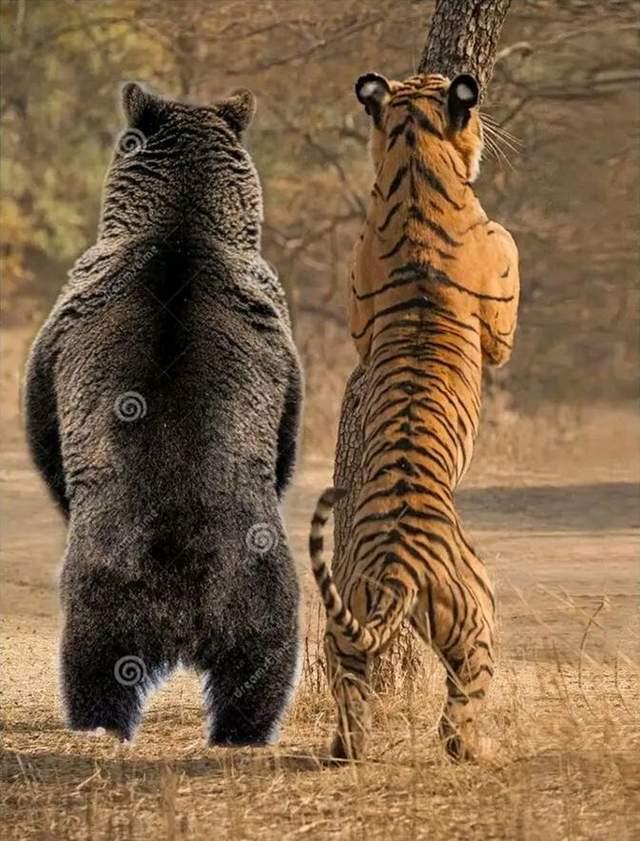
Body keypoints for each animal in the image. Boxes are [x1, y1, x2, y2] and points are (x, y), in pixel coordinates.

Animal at [309, 72, 520, 761]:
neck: (412, 159)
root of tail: (398, 563)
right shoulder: (499, 315)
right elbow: (507, 244)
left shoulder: (359, 295)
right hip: (478, 614)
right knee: (459, 713)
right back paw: (476, 753)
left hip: (344, 621)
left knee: (352, 702)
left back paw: (343, 749)